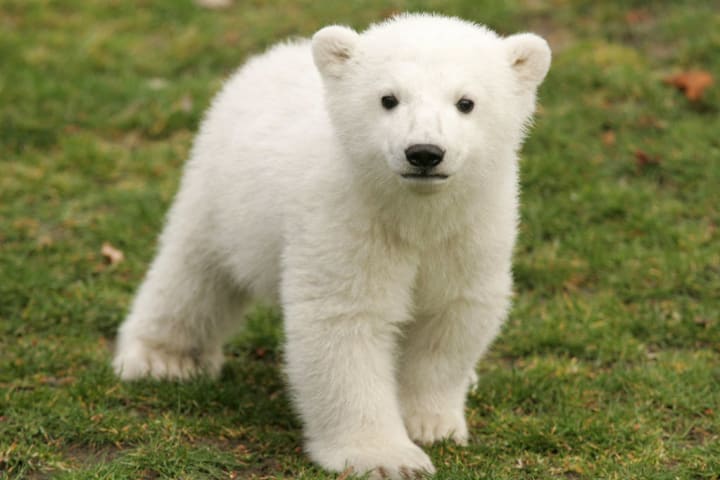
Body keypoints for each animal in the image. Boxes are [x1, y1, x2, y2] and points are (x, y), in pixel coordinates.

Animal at [113, 13, 551, 479]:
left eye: (466, 102)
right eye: (388, 98)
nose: (424, 153)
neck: (414, 213)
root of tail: (279, 52)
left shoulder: (470, 230)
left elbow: (453, 315)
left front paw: (431, 424)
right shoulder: (348, 217)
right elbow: (345, 322)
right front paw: (387, 458)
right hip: (222, 193)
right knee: (194, 272)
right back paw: (164, 358)